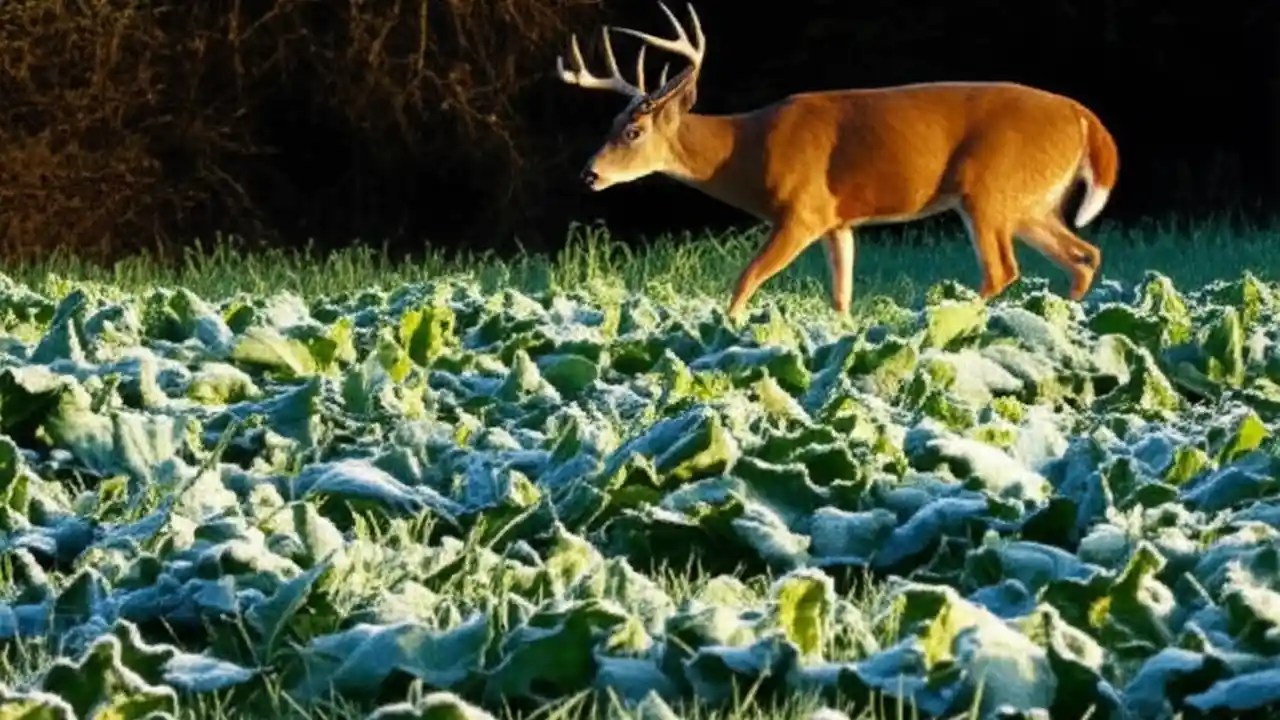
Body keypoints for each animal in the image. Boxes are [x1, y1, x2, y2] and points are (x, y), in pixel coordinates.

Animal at [554, 2, 1119, 320]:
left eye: (632, 131)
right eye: (608, 126)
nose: (588, 174)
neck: (747, 151)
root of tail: (1086, 119)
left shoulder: (803, 211)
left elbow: (744, 280)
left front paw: (724, 330)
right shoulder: (838, 222)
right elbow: (841, 295)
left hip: (988, 189)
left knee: (1004, 270)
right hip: (1031, 202)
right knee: (1084, 255)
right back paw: (1067, 327)